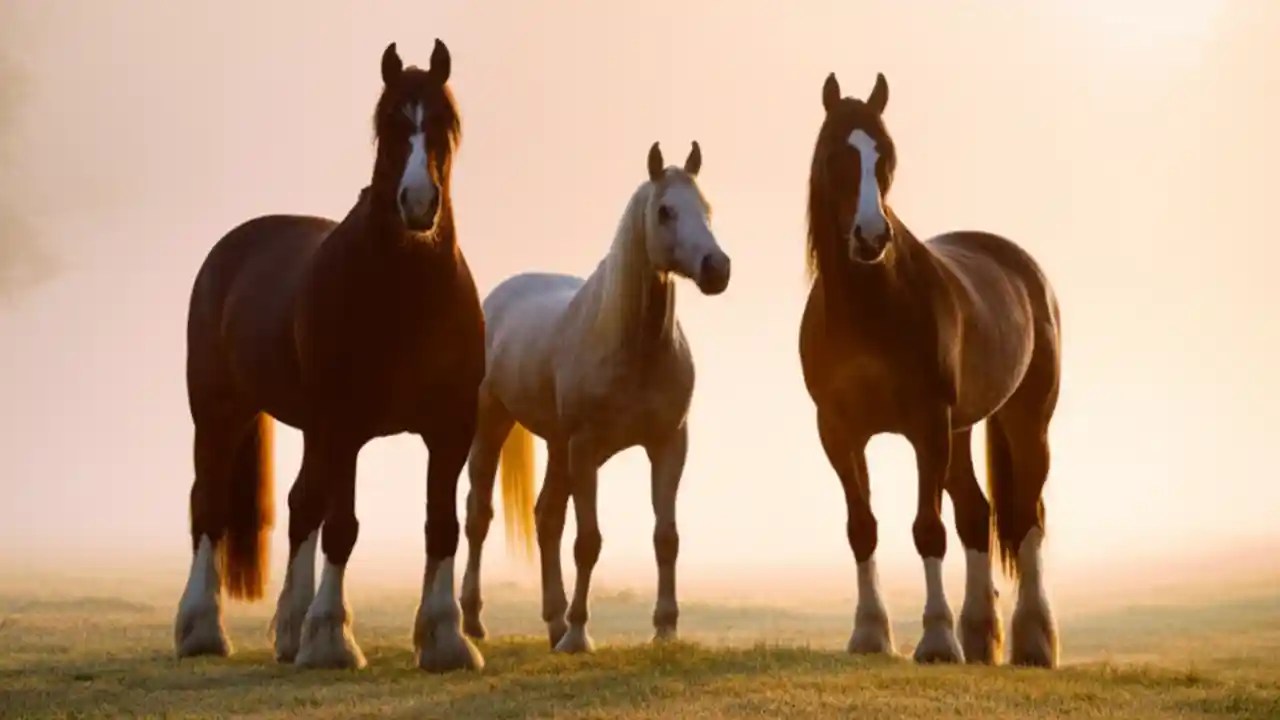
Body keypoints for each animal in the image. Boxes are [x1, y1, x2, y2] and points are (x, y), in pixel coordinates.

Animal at [174, 40, 488, 673]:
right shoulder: (346, 427)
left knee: (301, 505)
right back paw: (202, 629)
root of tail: (229, 250)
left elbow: (441, 527)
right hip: (220, 413)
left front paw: (445, 639)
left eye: (444, 124)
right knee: (209, 506)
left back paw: (289, 631)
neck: (406, 295)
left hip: (309, 429)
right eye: (388, 125)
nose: (419, 204)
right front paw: (331, 640)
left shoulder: (450, 428)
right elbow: (343, 526)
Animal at [457, 142, 731, 652]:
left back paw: (553, 620)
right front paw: (580, 633)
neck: (633, 347)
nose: (717, 268)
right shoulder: (585, 448)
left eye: (706, 208)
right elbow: (588, 541)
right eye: (665, 211)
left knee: (546, 518)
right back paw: (474, 621)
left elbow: (666, 537)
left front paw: (665, 627)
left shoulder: (668, 444)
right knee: (479, 515)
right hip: (494, 427)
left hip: (557, 447)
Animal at [799, 71, 1063, 668]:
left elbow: (928, 529)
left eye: (886, 154)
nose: (871, 237)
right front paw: (870, 634)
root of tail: (1024, 268)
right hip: (960, 431)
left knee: (1027, 514)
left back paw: (1033, 639)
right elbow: (863, 527)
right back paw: (981, 633)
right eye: (834, 155)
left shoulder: (926, 425)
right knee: (977, 513)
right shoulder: (838, 430)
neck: (872, 307)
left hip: (1023, 420)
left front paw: (938, 639)